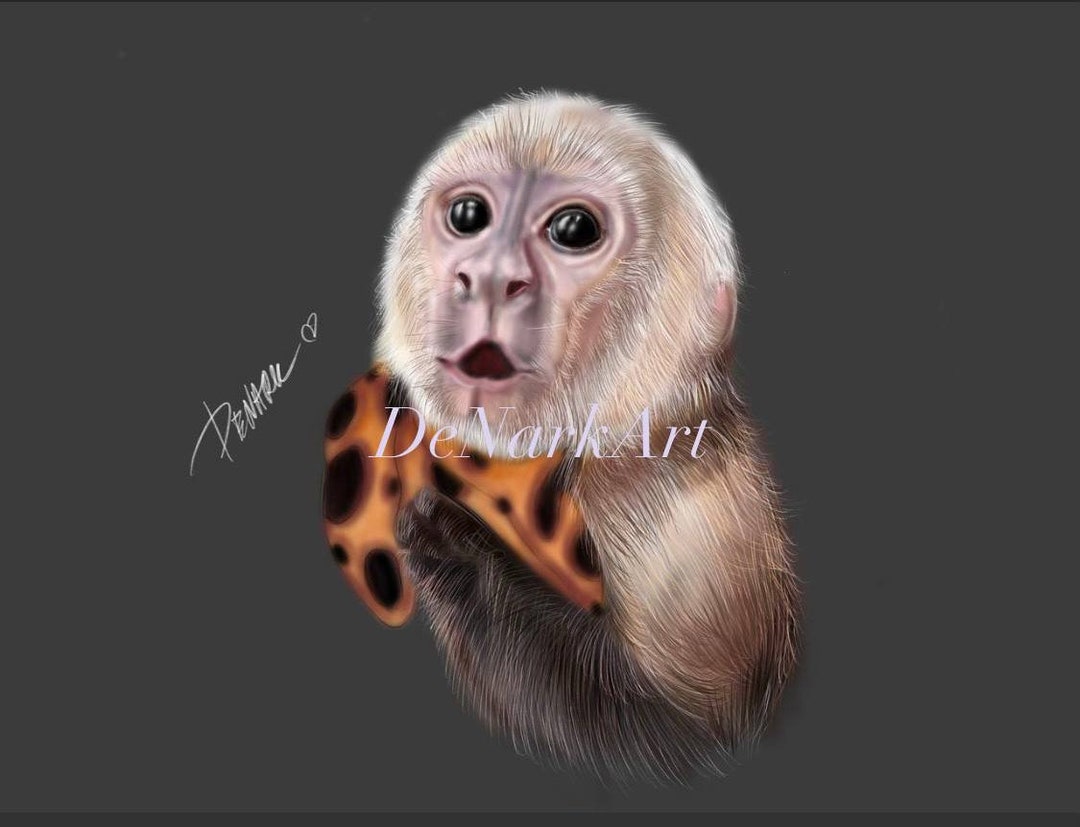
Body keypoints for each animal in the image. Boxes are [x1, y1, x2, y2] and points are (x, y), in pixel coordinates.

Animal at [357, 92, 800, 783]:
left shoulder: (658, 499)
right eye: (468, 215)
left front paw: (458, 549)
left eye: (573, 230)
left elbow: (693, 736)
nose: (489, 276)